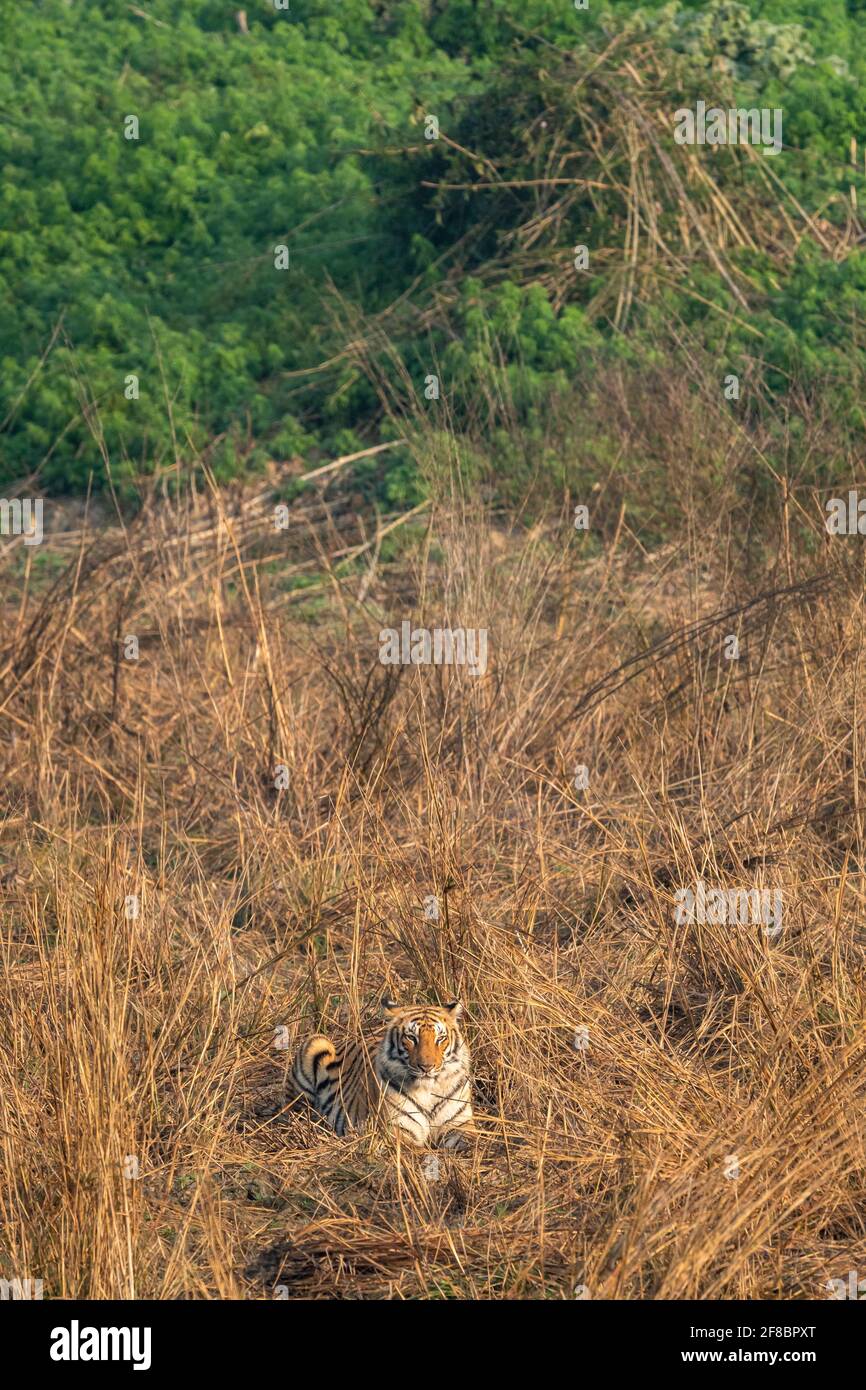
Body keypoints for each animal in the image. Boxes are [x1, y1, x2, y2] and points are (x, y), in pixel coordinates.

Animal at [291, 997, 473, 1149]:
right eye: (411, 1038)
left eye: (440, 1038)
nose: (426, 1067)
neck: (428, 1091)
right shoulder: (396, 1131)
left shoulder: (460, 1126)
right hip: (316, 1043)